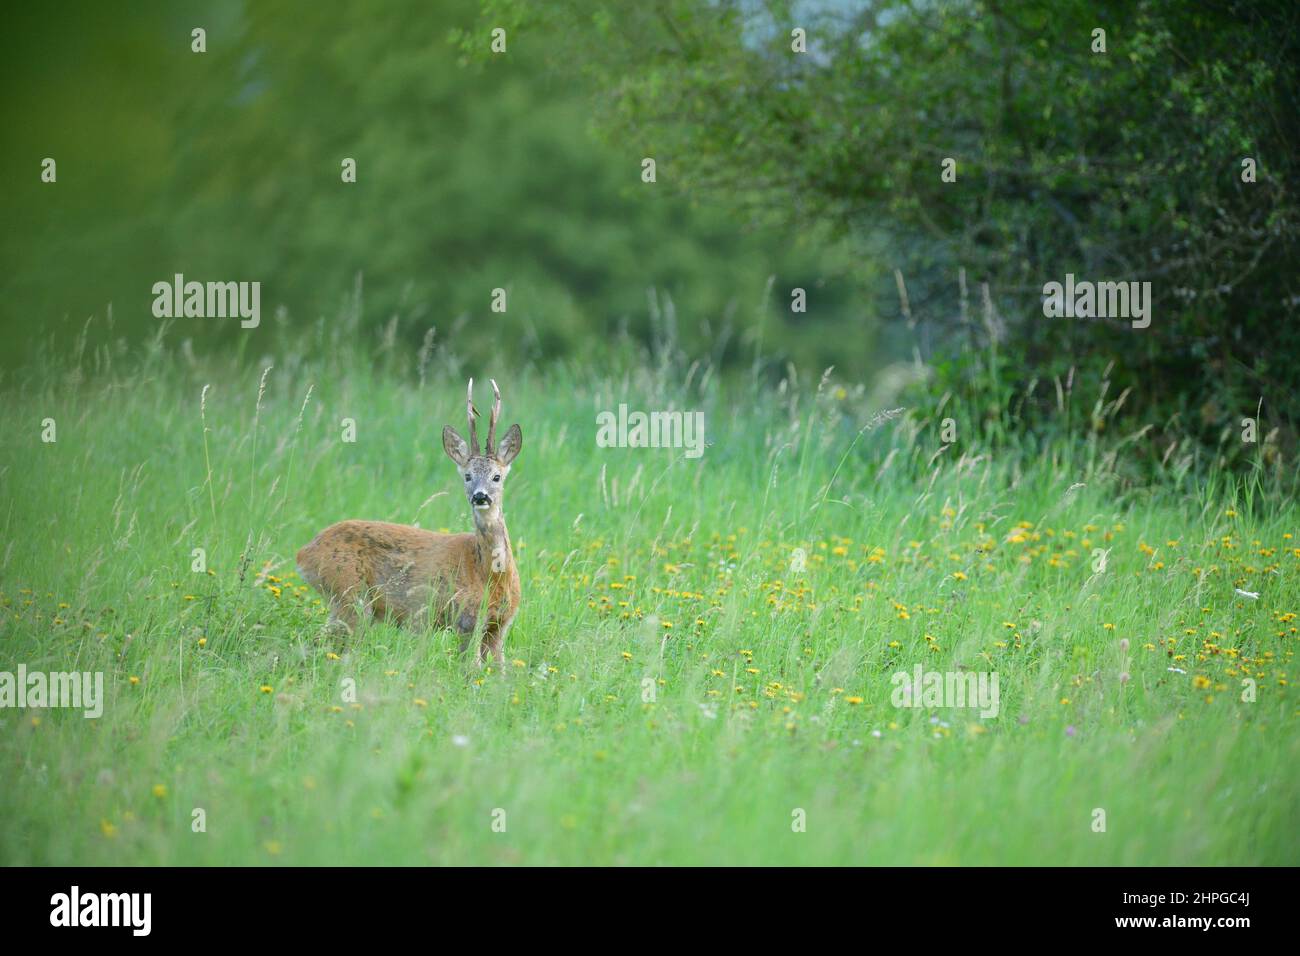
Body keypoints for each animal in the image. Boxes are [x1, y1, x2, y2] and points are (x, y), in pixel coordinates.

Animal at [296, 379, 522, 667]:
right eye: (467, 476)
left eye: (496, 476)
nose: (480, 496)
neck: (491, 575)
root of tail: (303, 553)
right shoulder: (467, 619)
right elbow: (469, 670)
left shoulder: (500, 625)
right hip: (349, 594)